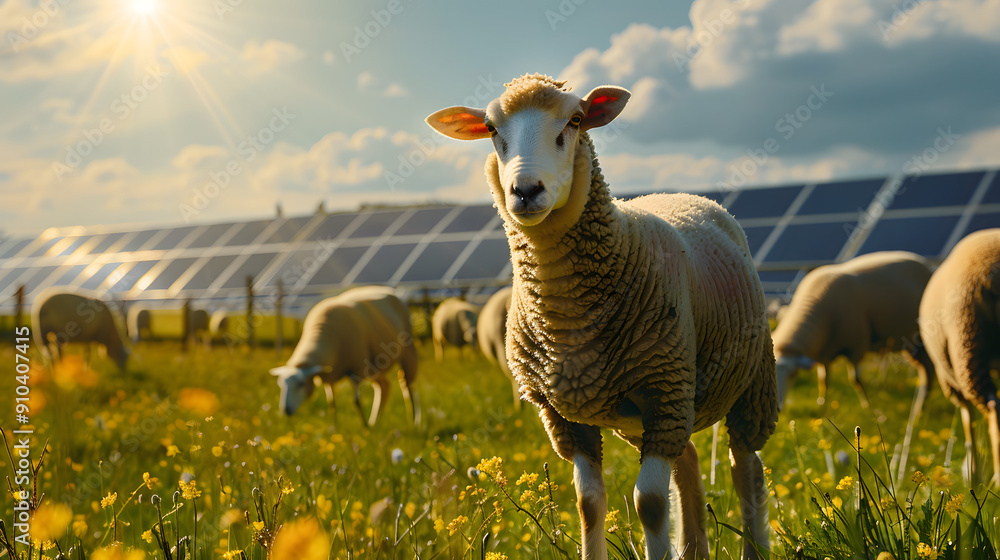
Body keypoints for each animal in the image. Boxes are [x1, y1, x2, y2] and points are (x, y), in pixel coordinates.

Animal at [270, 286, 419, 426]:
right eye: (280, 384)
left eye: (300, 384)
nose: (285, 410)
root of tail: (387, 289)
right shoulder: (329, 377)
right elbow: (331, 404)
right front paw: (334, 427)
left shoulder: (357, 369)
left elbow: (356, 402)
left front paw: (364, 428)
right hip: (373, 366)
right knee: (384, 386)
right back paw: (375, 421)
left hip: (407, 351)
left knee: (407, 386)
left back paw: (413, 421)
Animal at [427, 73, 775, 560]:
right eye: (492, 129)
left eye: (575, 121)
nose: (525, 191)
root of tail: (684, 196)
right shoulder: (566, 417)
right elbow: (588, 503)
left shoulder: (661, 386)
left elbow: (649, 503)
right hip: (657, 409)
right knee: (687, 460)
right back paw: (693, 547)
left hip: (746, 380)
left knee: (747, 467)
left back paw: (754, 544)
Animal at [919, 228, 1000, 486]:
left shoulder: (950, 379)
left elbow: (968, 420)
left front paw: (973, 475)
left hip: (966, 346)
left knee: (992, 410)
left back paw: (996, 479)